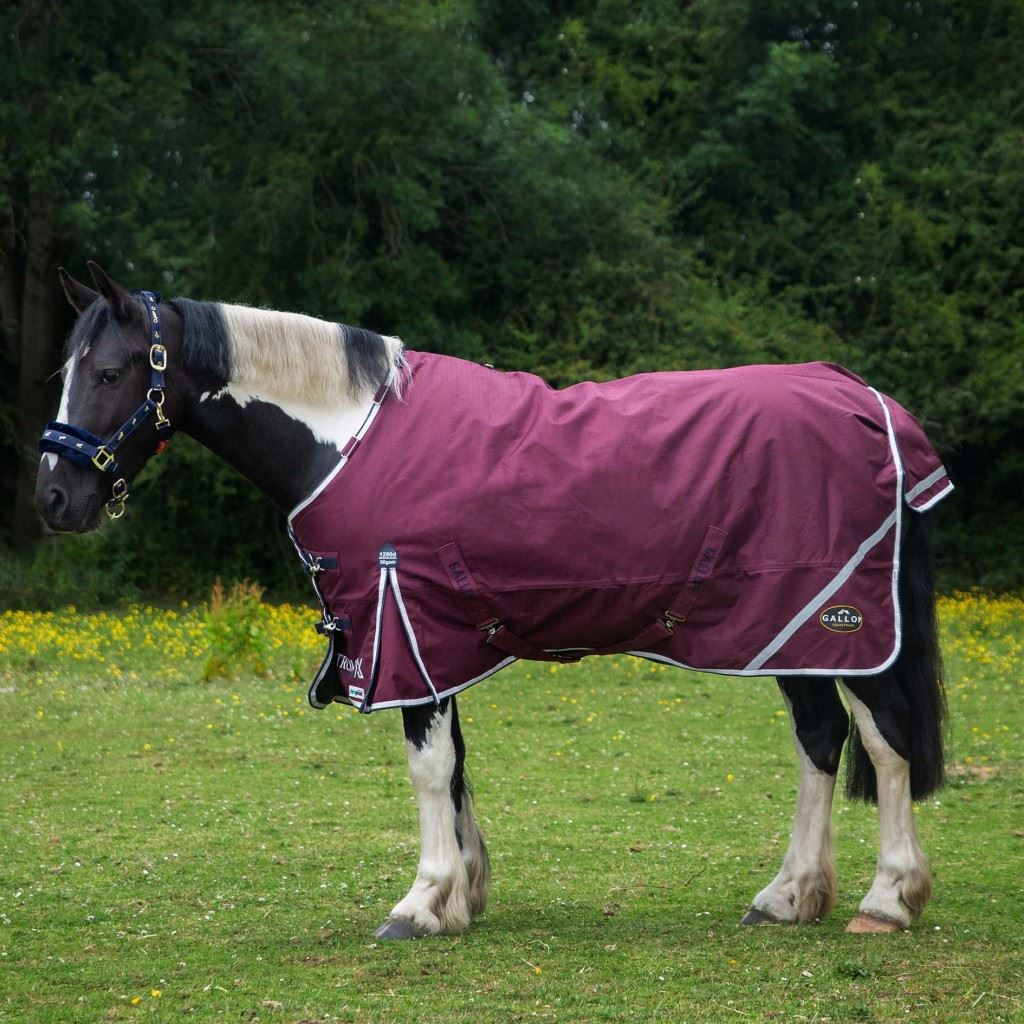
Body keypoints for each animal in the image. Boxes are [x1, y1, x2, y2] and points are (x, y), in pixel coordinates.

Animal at [36, 262, 952, 939]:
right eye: (66, 373)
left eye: (111, 372)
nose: (53, 499)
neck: (343, 437)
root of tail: (871, 403)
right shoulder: (429, 637)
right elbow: (456, 765)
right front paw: (462, 898)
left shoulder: (403, 624)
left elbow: (429, 766)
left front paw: (419, 903)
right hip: (791, 635)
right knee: (820, 739)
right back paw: (789, 895)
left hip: (846, 625)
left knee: (884, 740)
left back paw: (886, 899)